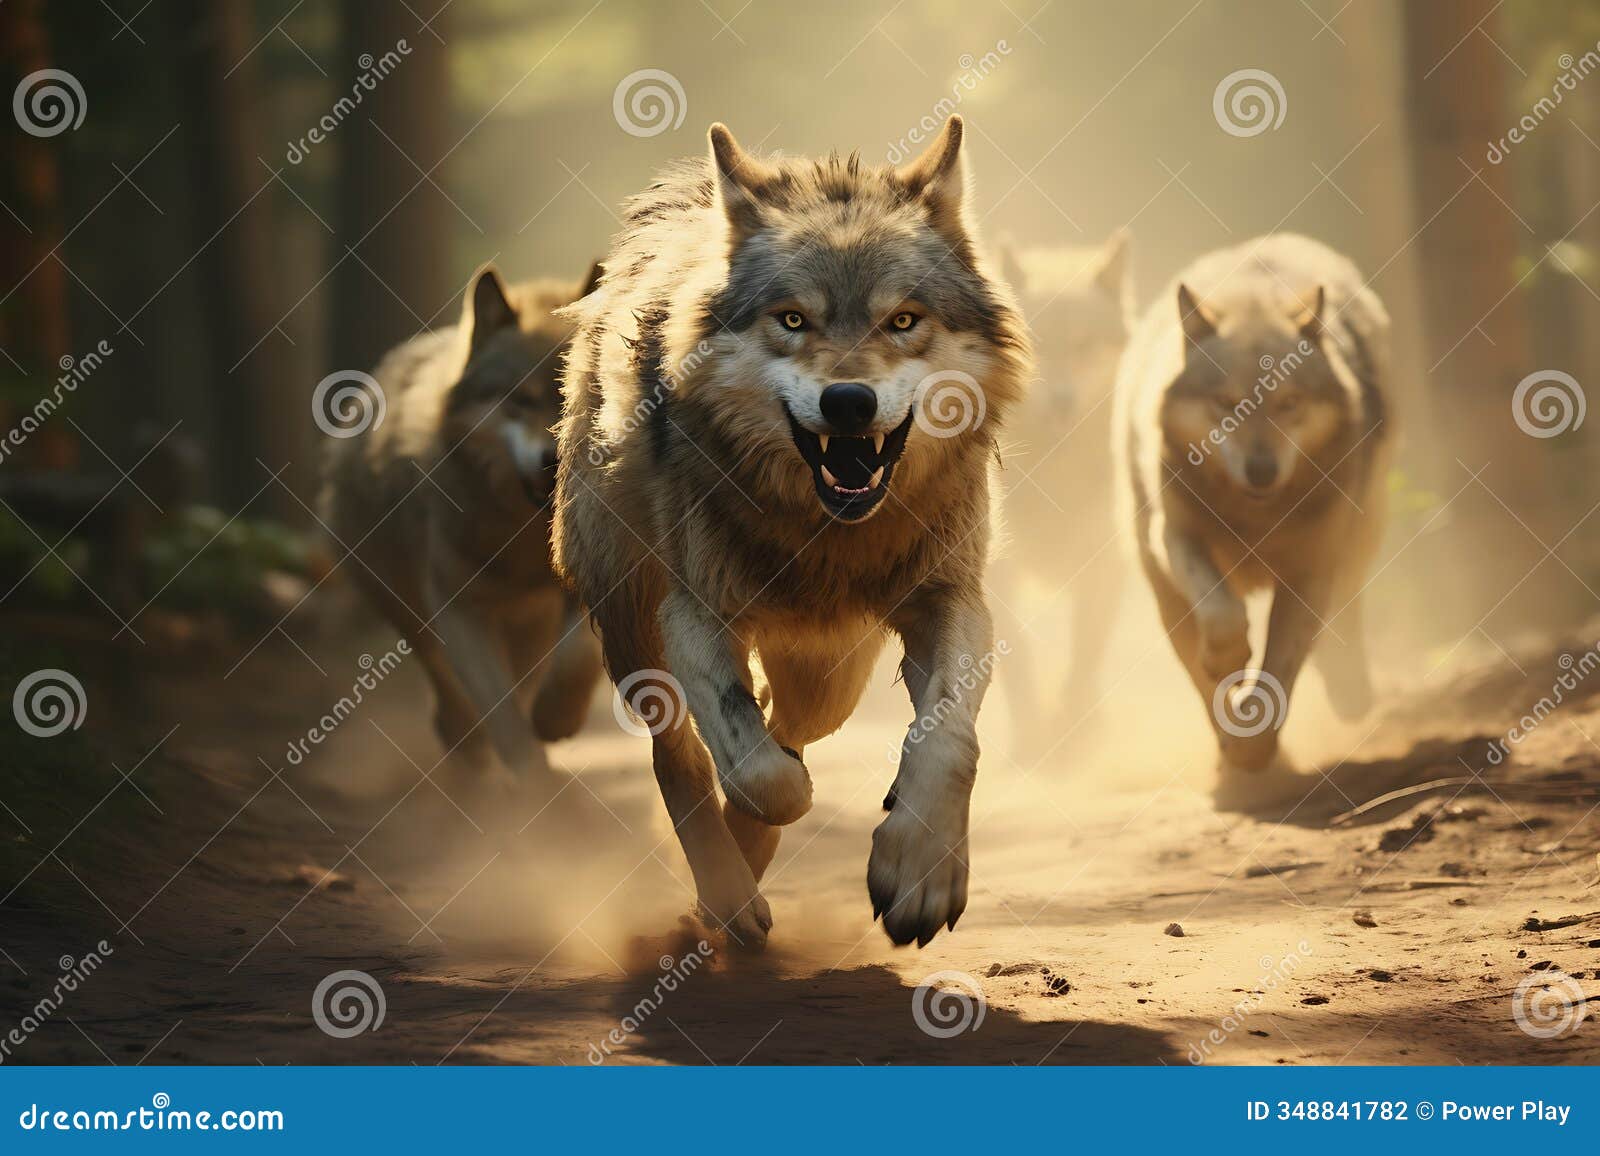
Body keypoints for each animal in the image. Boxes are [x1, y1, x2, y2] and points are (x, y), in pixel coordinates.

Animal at [322, 264, 605, 783]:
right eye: (519, 400)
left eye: (568, 395)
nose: (552, 460)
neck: (526, 542)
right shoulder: (460, 609)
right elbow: (499, 710)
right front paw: (533, 785)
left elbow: (574, 661)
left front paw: (556, 722)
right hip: (408, 605)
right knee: (441, 673)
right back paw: (463, 740)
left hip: (527, 626)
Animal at [554, 116, 1030, 947]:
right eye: (793, 319)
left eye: (902, 320)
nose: (848, 402)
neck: (827, 537)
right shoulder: (694, 614)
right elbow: (763, 774)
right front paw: (765, 829)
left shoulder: (952, 601)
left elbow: (949, 741)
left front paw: (920, 875)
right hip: (632, 621)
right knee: (681, 757)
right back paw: (729, 893)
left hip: (833, 670)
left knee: (794, 720)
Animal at [992, 232, 1134, 752]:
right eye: (1035, 343)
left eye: (1084, 345)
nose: (1061, 401)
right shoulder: (996, 568)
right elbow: (1019, 657)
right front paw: (1033, 738)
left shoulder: (1106, 562)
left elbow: (1084, 658)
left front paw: (1069, 733)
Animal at [1115, 233, 1390, 771]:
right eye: (1226, 403)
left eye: (1289, 403)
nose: (1261, 470)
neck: (1254, 518)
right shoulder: (1176, 536)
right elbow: (1223, 619)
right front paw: (1230, 678)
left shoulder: (1310, 571)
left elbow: (1280, 667)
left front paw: (1257, 741)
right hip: (1162, 590)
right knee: (1196, 666)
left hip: (1357, 542)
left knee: (1346, 614)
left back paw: (1348, 692)